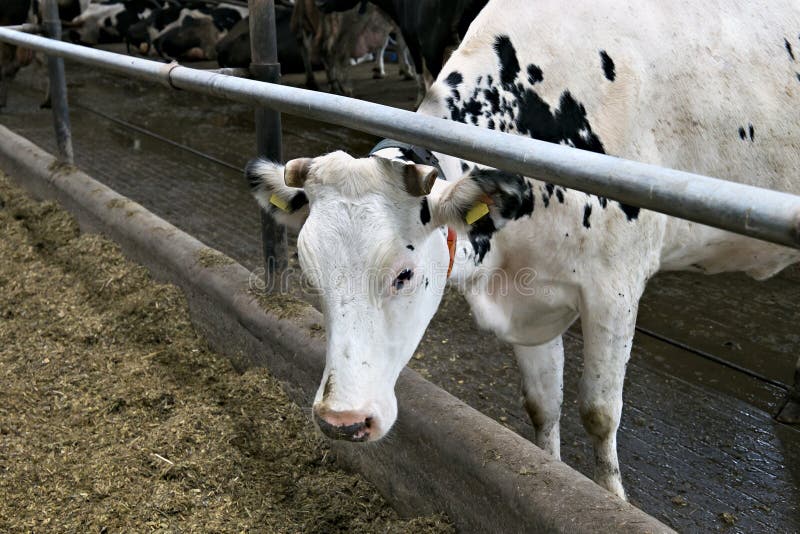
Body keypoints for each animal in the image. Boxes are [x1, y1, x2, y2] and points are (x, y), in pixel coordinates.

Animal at [244, 0, 800, 500]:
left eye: (403, 274)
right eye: (311, 275)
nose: (342, 421)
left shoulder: (616, 288)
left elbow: (599, 414)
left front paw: (613, 499)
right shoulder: (531, 299)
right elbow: (542, 406)